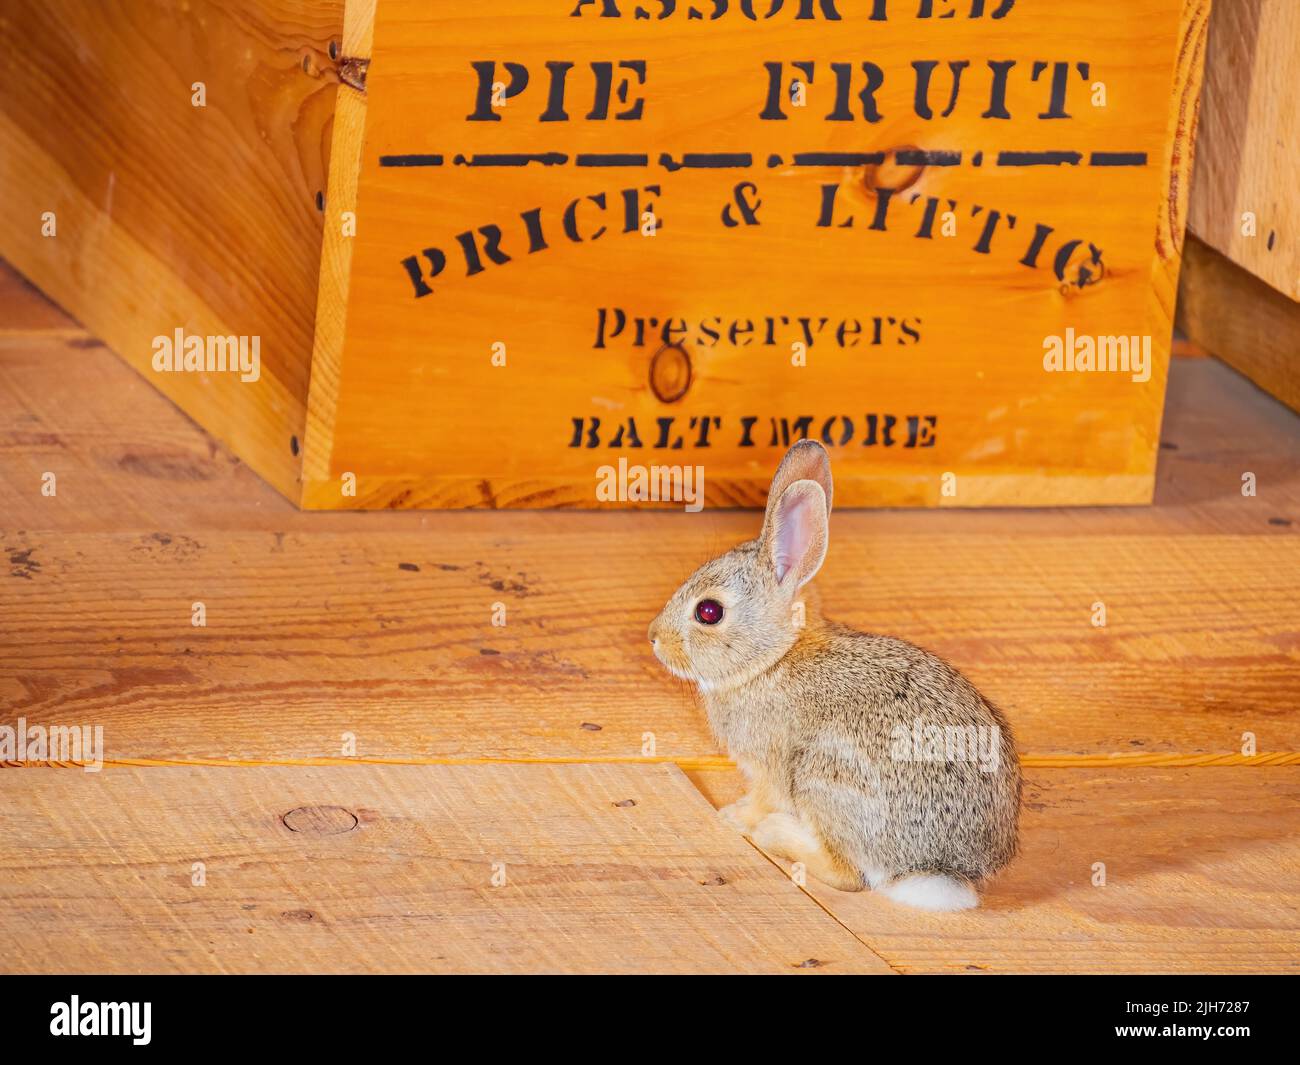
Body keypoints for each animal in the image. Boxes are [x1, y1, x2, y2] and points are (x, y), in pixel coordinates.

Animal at [648, 440, 1021, 911]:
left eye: (709, 612)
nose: (653, 638)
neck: (773, 658)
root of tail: (941, 869)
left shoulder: (771, 769)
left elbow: (761, 800)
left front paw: (734, 816)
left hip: (824, 780)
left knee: (848, 875)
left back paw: (775, 834)